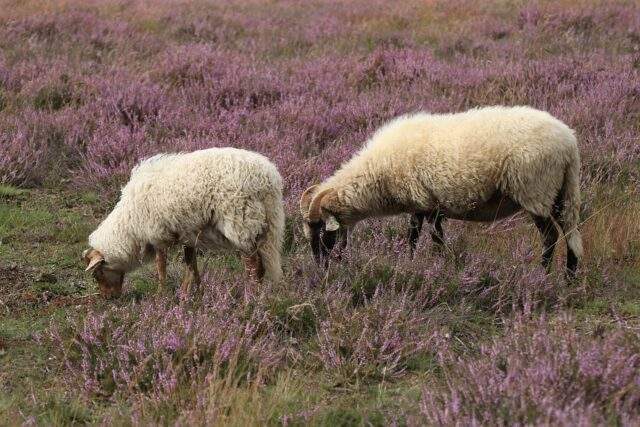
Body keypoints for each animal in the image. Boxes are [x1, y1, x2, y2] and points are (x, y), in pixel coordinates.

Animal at [82, 147, 285, 298]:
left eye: (98, 274)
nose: (108, 299)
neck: (130, 226)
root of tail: (269, 179)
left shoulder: (157, 233)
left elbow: (161, 266)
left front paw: (162, 295)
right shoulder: (188, 234)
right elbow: (191, 264)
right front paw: (195, 293)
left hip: (241, 222)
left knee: (253, 264)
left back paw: (250, 294)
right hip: (264, 226)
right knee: (261, 264)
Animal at [300, 106, 583, 277]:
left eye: (322, 230)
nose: (320, 268)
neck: (378, 173)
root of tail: (568, 142)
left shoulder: (428, 202)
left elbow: (429, 238)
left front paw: (432, 265)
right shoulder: (422, 204)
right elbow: (417, 236)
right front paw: (416, 262)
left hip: (535, 191)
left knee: (549, 236)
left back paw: (542, 274)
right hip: (561, 191)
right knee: (570, 233)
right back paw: (569, 276)